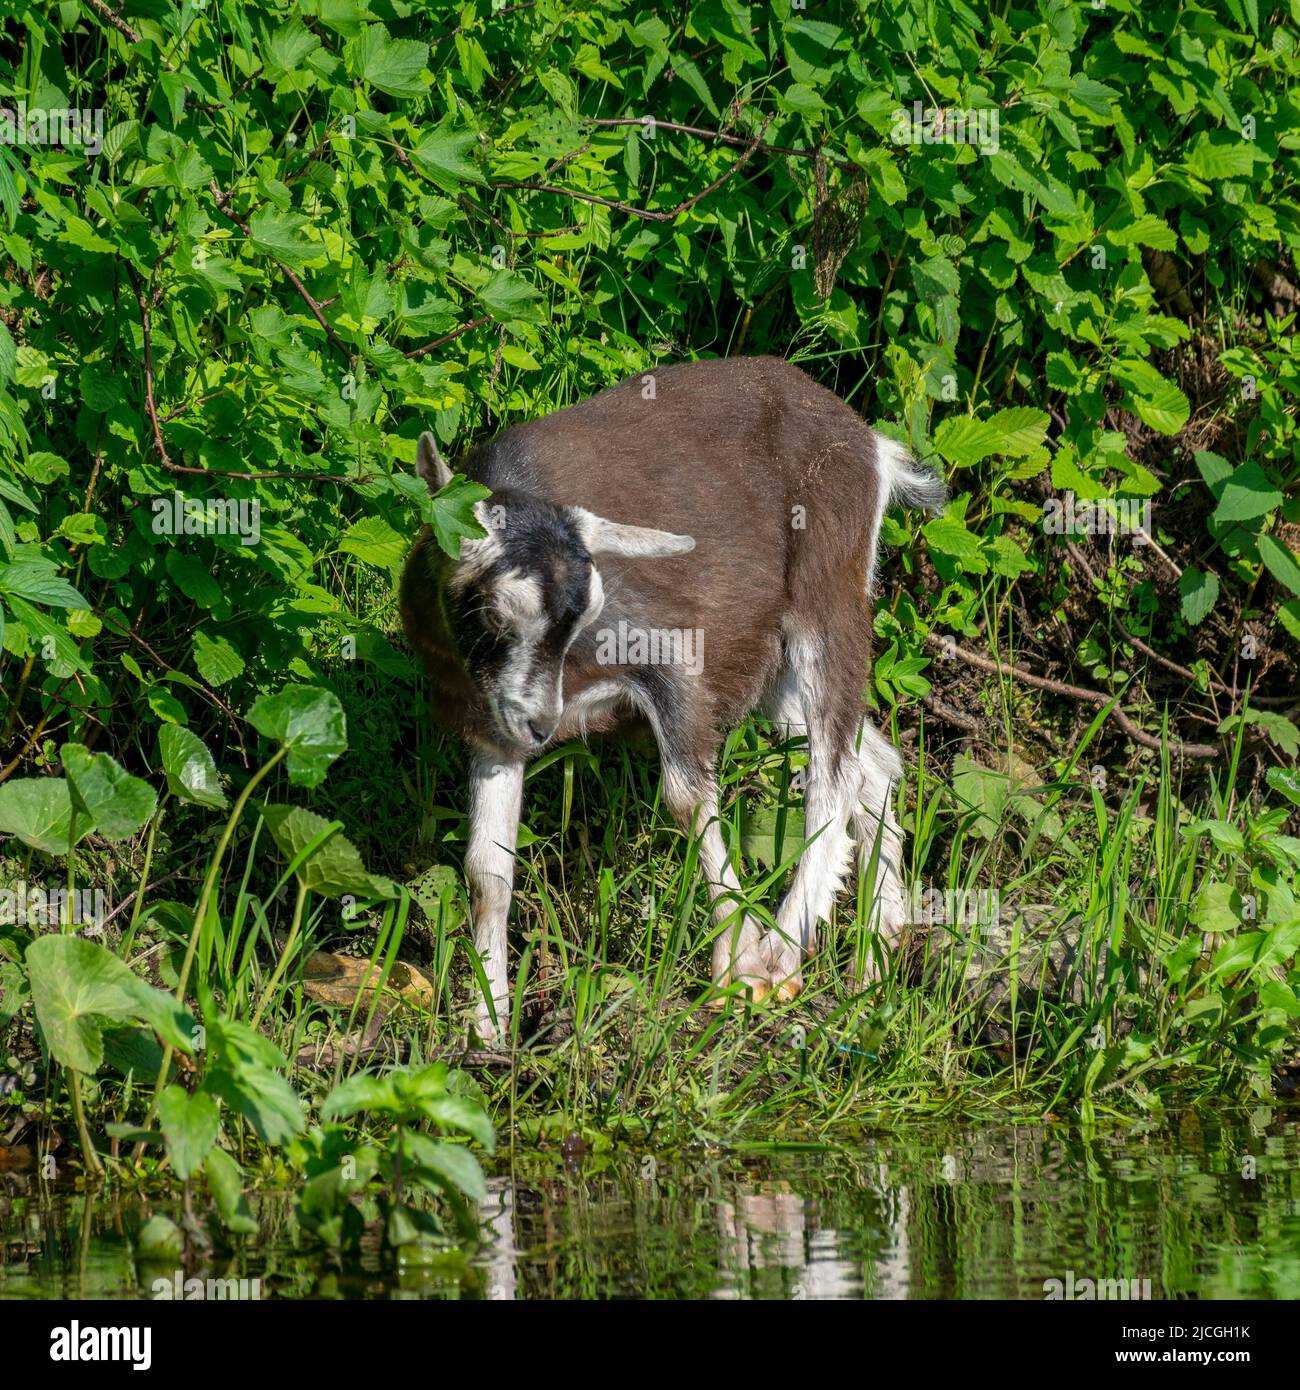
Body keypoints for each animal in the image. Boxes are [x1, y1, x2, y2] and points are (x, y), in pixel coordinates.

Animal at [399, 356, 947, 1043]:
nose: (542, 728)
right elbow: (486, 869)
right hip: (772, 669)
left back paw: (784, 952)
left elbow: (688, 800)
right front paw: (487, 1024)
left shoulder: (669, 660)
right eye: (497, 613)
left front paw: (738, 967)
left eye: (591, 614)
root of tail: (873, 445)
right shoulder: (491, 727)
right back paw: (879, 947)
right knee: (874, 759)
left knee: (836, 769)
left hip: (828, 597)